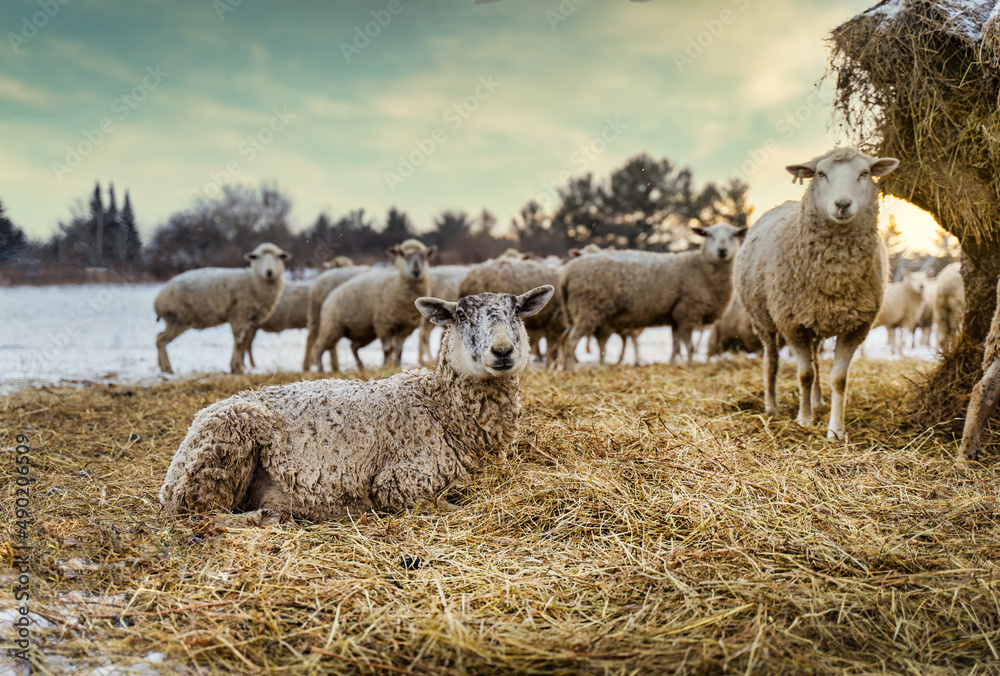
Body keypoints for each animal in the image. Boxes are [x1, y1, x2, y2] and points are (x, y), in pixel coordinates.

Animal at [154, 242, 290, 375]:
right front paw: (236, 368)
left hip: (174, 321)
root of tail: (158, 299)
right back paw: (168, 369)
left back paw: (162, 367)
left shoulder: (247, 319)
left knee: (158, 337)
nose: (269, 272)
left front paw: (239, 366)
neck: (254, 280)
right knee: (161, 340)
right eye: (257, 257)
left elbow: (242, 342)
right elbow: (238, 342)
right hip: (178, 319)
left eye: (278, 257)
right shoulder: (239, 315)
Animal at [159, 286, 555, 523]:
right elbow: (440, 501)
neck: (439, 407)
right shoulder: (401, 480)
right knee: (200, 511)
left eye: (517, 311)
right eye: (460, 315)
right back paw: (268, 515)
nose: (502, 351)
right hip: (223, 450)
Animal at [312, 239, 436, 372]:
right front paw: (385, 366)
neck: (398, 284)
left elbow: (399, 350)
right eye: (404, 255)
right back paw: (320, 369)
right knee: (319, 347)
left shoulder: (405, 327)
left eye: (424, 256)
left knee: (353, 346)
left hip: (364, 333)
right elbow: (387, 349)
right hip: (331, 327)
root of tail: (329, 297)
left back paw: (361, 367)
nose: (416, 271)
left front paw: (397, 366)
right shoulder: (384, 324)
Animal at [560, 223, 746, 371]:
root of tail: (567, 272)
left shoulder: (675, 316)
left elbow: (675, 344)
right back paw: (570, 370)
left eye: (733, 235)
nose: (722, 251)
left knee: (572, 339)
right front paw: (690, 364)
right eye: (709, 235)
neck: (700, 267)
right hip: (588, 310)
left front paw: (673, 364)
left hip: (577, 312)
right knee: (571, 340)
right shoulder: (687, 313)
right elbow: (688, 345)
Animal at [733, 147, 899, 440]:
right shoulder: (791, 323)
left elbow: (838, 379)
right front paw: (804, 419)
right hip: (764, 321)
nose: (842, 204)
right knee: (771, 361)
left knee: (816, 362)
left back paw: (818, 400)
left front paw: (835, 430)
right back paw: (772, 406)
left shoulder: (856, 326)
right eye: (821, 174)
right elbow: (804, 375)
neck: (835, 277)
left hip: (816, 321)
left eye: (864, 173)